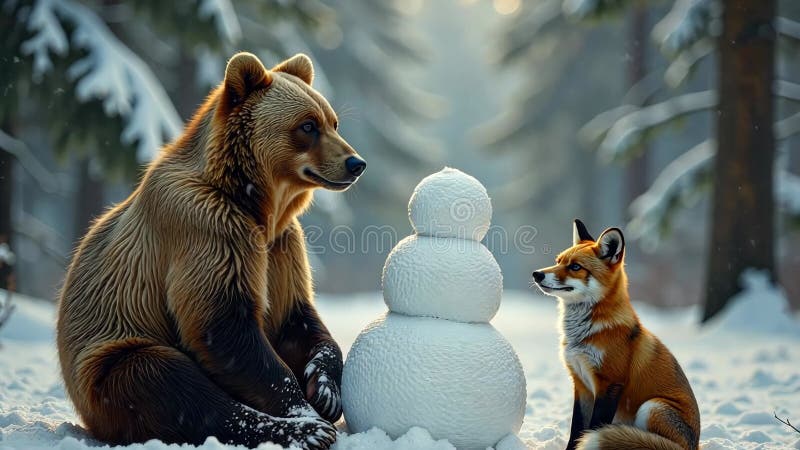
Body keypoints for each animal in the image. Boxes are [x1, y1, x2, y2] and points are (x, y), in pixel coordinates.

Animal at [56, 52, 366, 450]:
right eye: (307, 125)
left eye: (332, 121)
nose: (355, 163)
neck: (256, 205)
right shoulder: (209, 230)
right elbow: (224, 328)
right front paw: (305, 415)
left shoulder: (281, 248)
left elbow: (297, 318)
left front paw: (325, 389)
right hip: (109, 358)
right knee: (170, 386)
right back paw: (297, 432)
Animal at [531, 220, 700, 450]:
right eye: (557, 261)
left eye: (575, 267)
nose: (537, 274)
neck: (582, 336)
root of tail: (694, 445)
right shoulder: (581, 384)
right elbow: (577, 430)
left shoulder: (609, 384)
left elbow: (593, 427)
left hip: (652, 406)